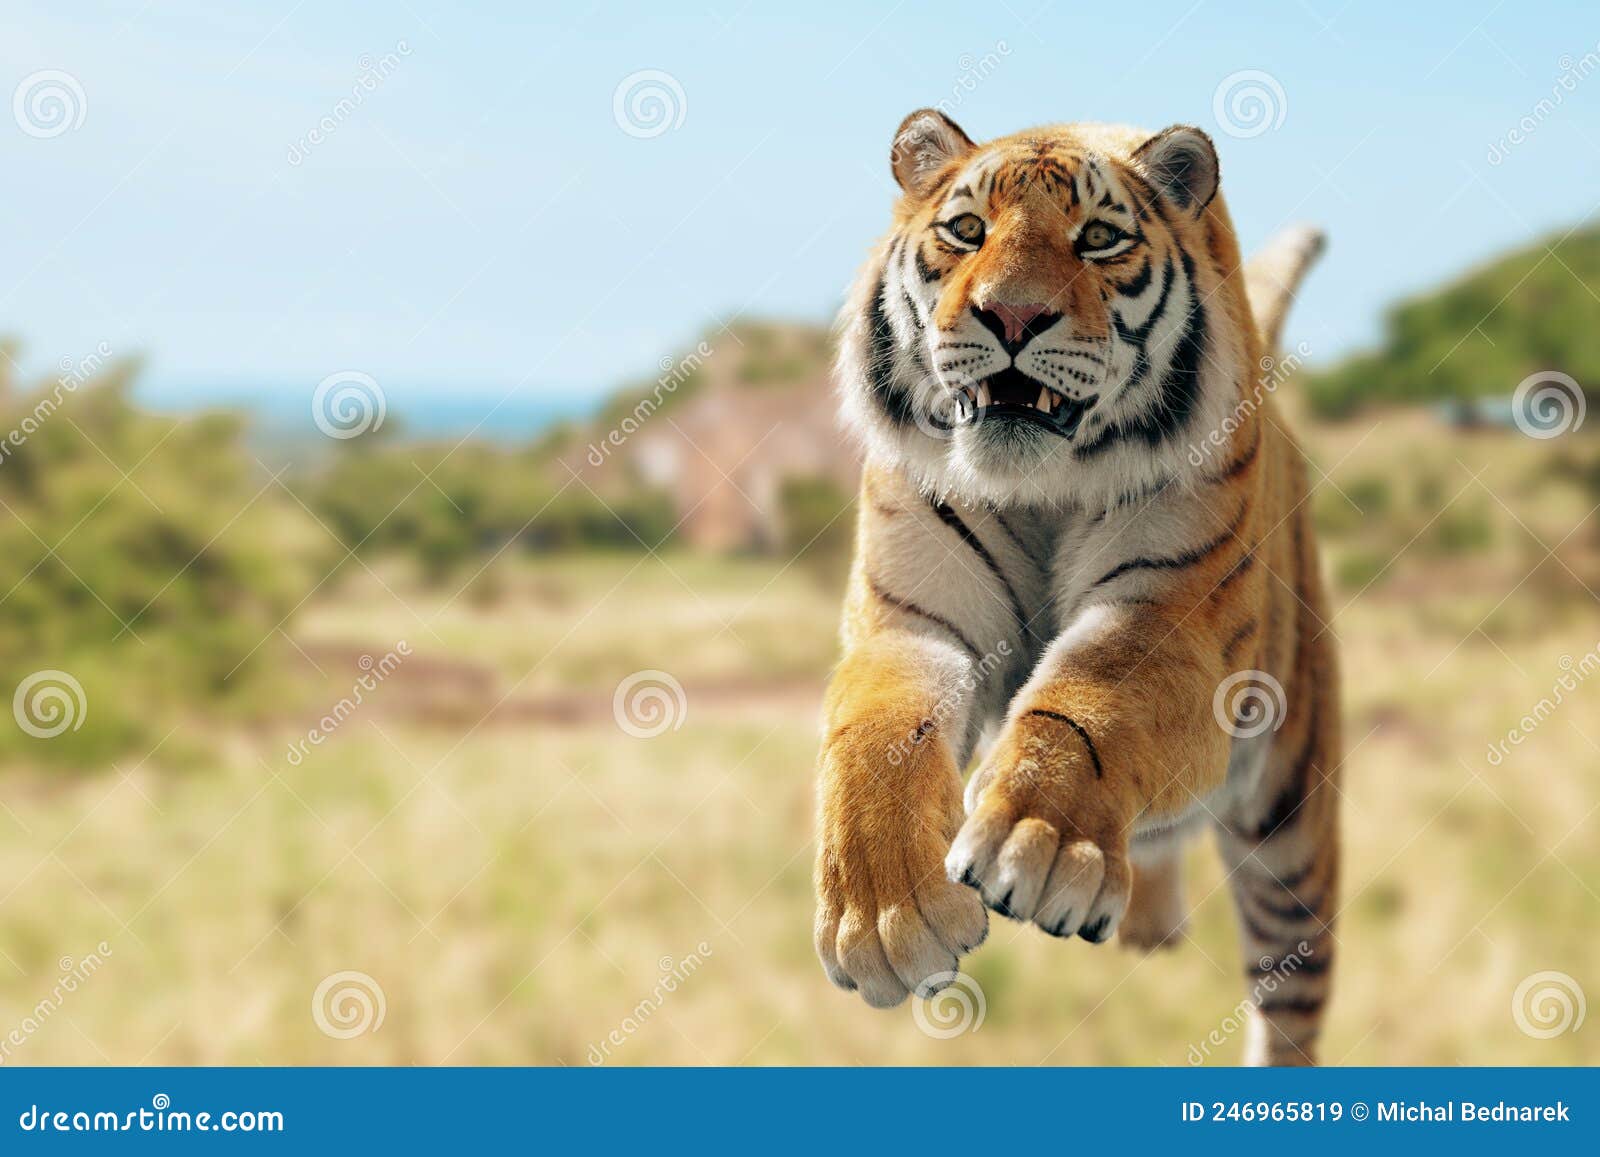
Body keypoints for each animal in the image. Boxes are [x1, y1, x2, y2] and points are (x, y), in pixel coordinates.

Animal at [812, 109, 1339, 1066]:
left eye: (1097, 239)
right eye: (967, 230)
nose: (1012, 313)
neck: (1042, 486)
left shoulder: (1167, 614)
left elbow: (1091, 702)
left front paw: (1042, 843)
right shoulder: (911, 620)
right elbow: (876, 736)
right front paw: (884, 916)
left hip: (1294, 825)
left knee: (1293, 994)